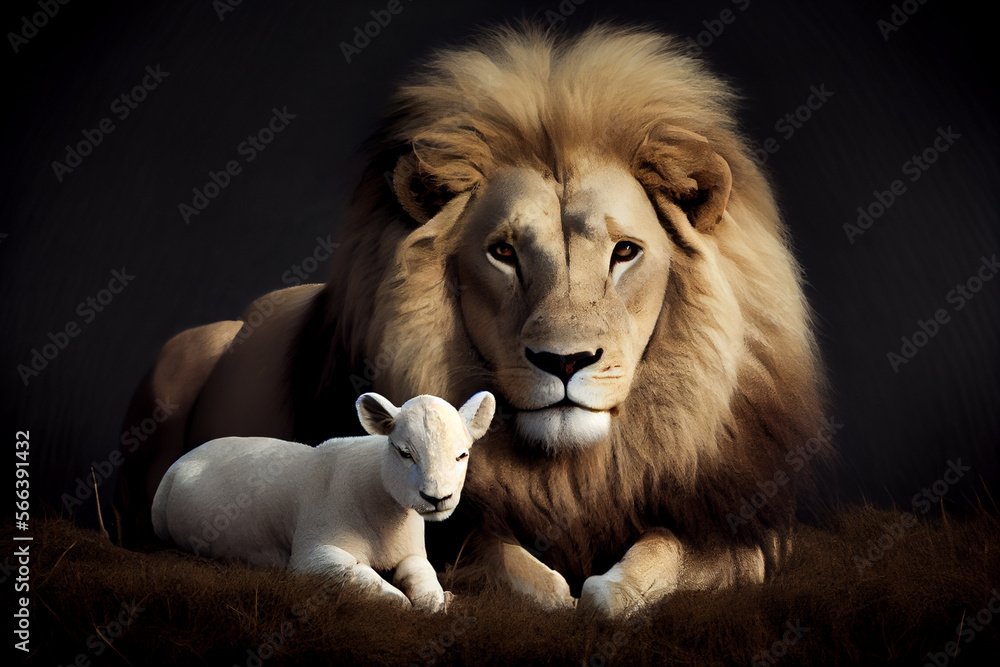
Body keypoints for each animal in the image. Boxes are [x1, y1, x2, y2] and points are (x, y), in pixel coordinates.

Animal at [151, 391, 495, 612]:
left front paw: (438, 600)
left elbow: (423, 575)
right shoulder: (310, 556)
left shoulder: (411, 553)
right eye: (404, 452)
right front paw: (401, 602)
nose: (437, 498)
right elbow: (361, 577)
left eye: (462, 455)